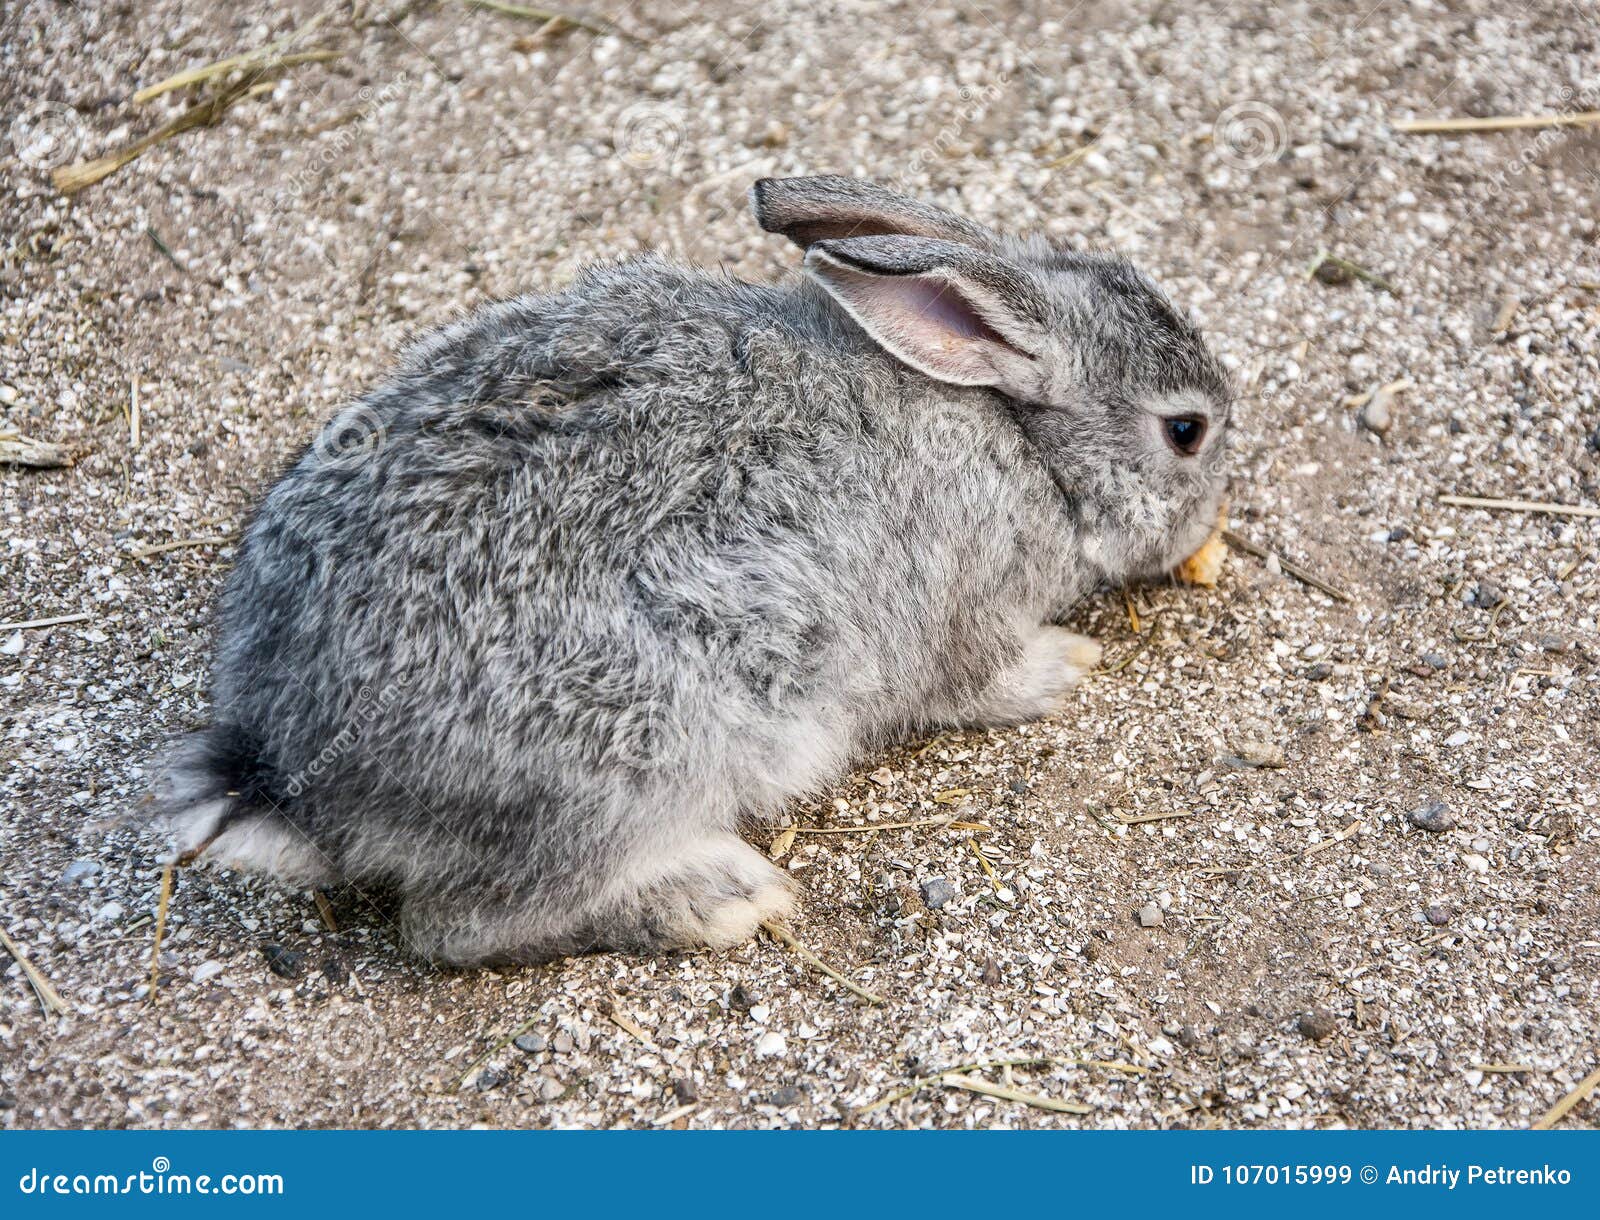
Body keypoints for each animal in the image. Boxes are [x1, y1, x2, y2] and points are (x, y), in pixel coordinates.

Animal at [151, 176, 1231, 966]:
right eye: (1186, 431)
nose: (1213, 517)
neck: (1022, 436)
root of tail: (286, 773)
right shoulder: (964, 617)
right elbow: (983, 679)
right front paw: (1067, 665)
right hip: (629, 767)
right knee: (458, 928)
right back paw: (714, 898)